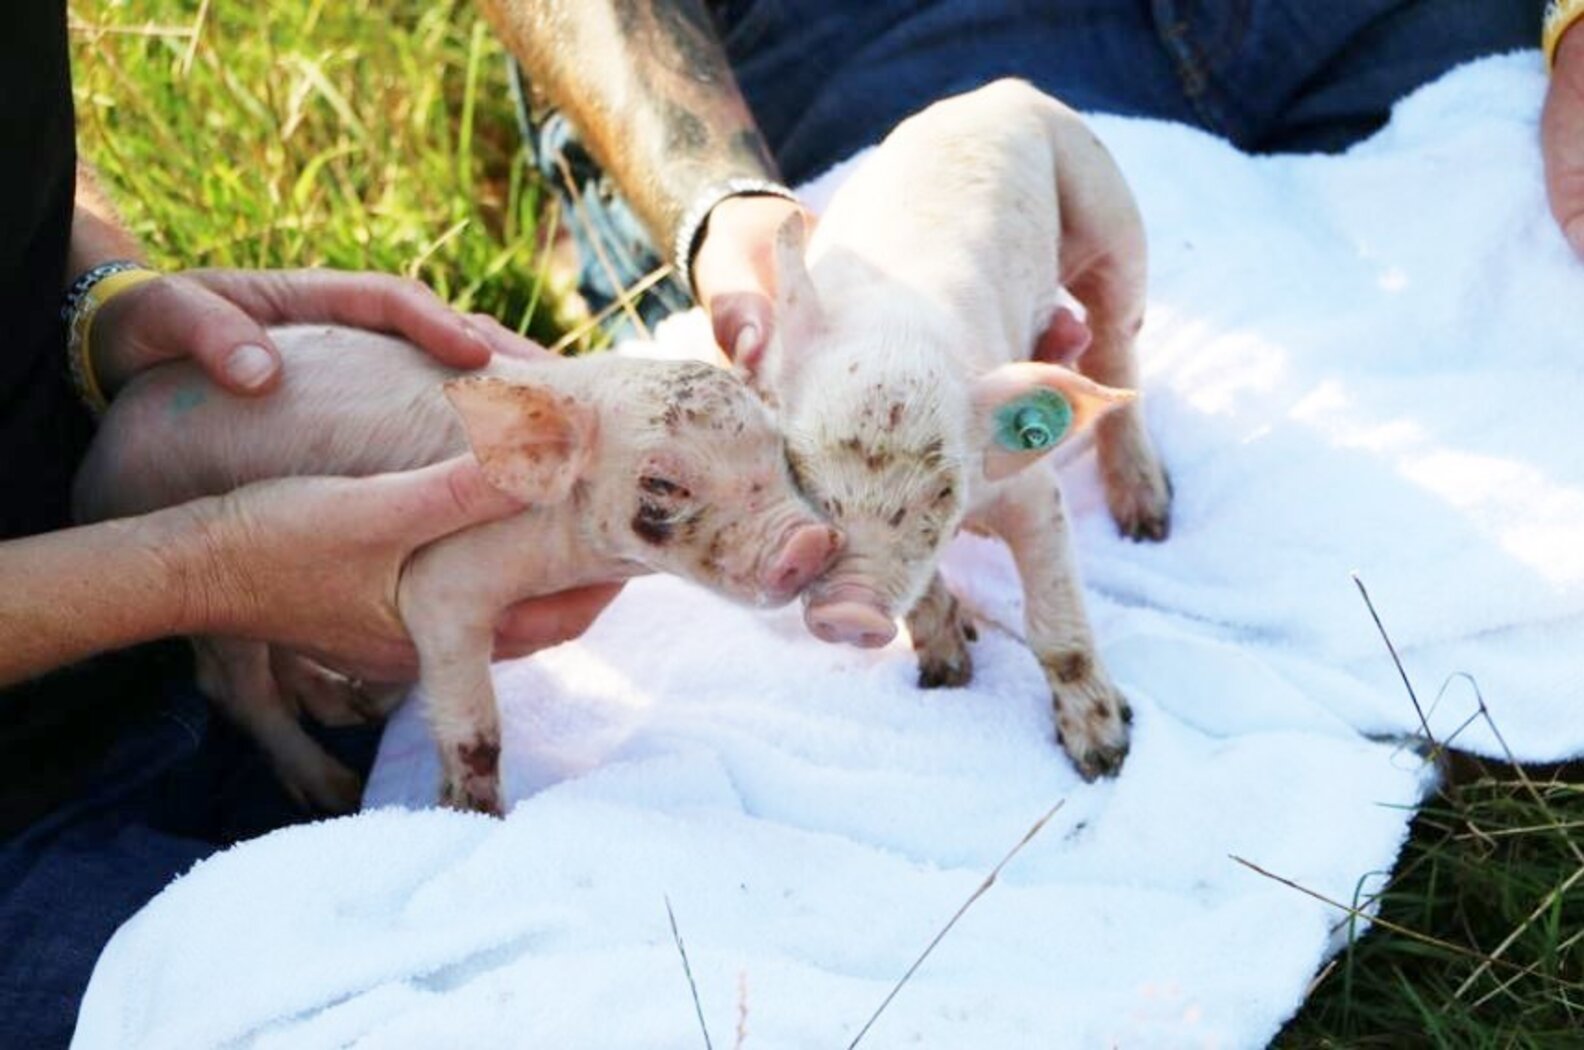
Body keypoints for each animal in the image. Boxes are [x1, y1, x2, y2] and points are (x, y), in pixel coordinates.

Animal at [74, 326, 839, 814]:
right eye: (662, 484)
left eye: (777, 449)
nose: (810, 542)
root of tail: (94, 474)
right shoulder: (444, 576)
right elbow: (474, 724)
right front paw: (474, 817)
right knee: (232, 685)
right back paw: (336, 790)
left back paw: (342, 707)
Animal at [744, 79, 1172, 780]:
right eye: (801, 475)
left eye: (941, 496)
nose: (850, 613)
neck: (898, 330)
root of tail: (1001, 89)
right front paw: (946, 675)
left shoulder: (1031, 489)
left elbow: (1054, 622)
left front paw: (1104, 755)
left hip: (1102, 193)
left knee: (1114, 339)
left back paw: (1147, 523)